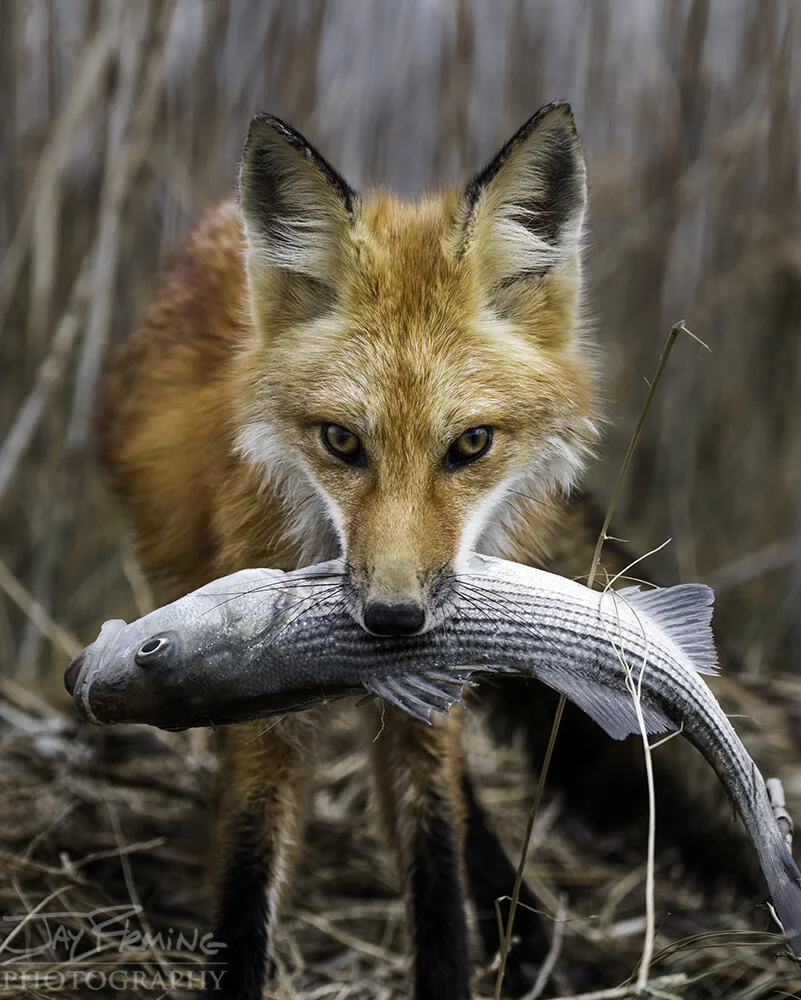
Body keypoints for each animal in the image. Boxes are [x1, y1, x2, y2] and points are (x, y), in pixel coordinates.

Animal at [97, 102, 768, 999]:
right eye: (341, 442)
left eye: (471, 444)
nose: (392, 619)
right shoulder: (255, 723)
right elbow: (244, 893)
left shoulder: (425, 710)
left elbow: (437, 878)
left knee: (467, 819)